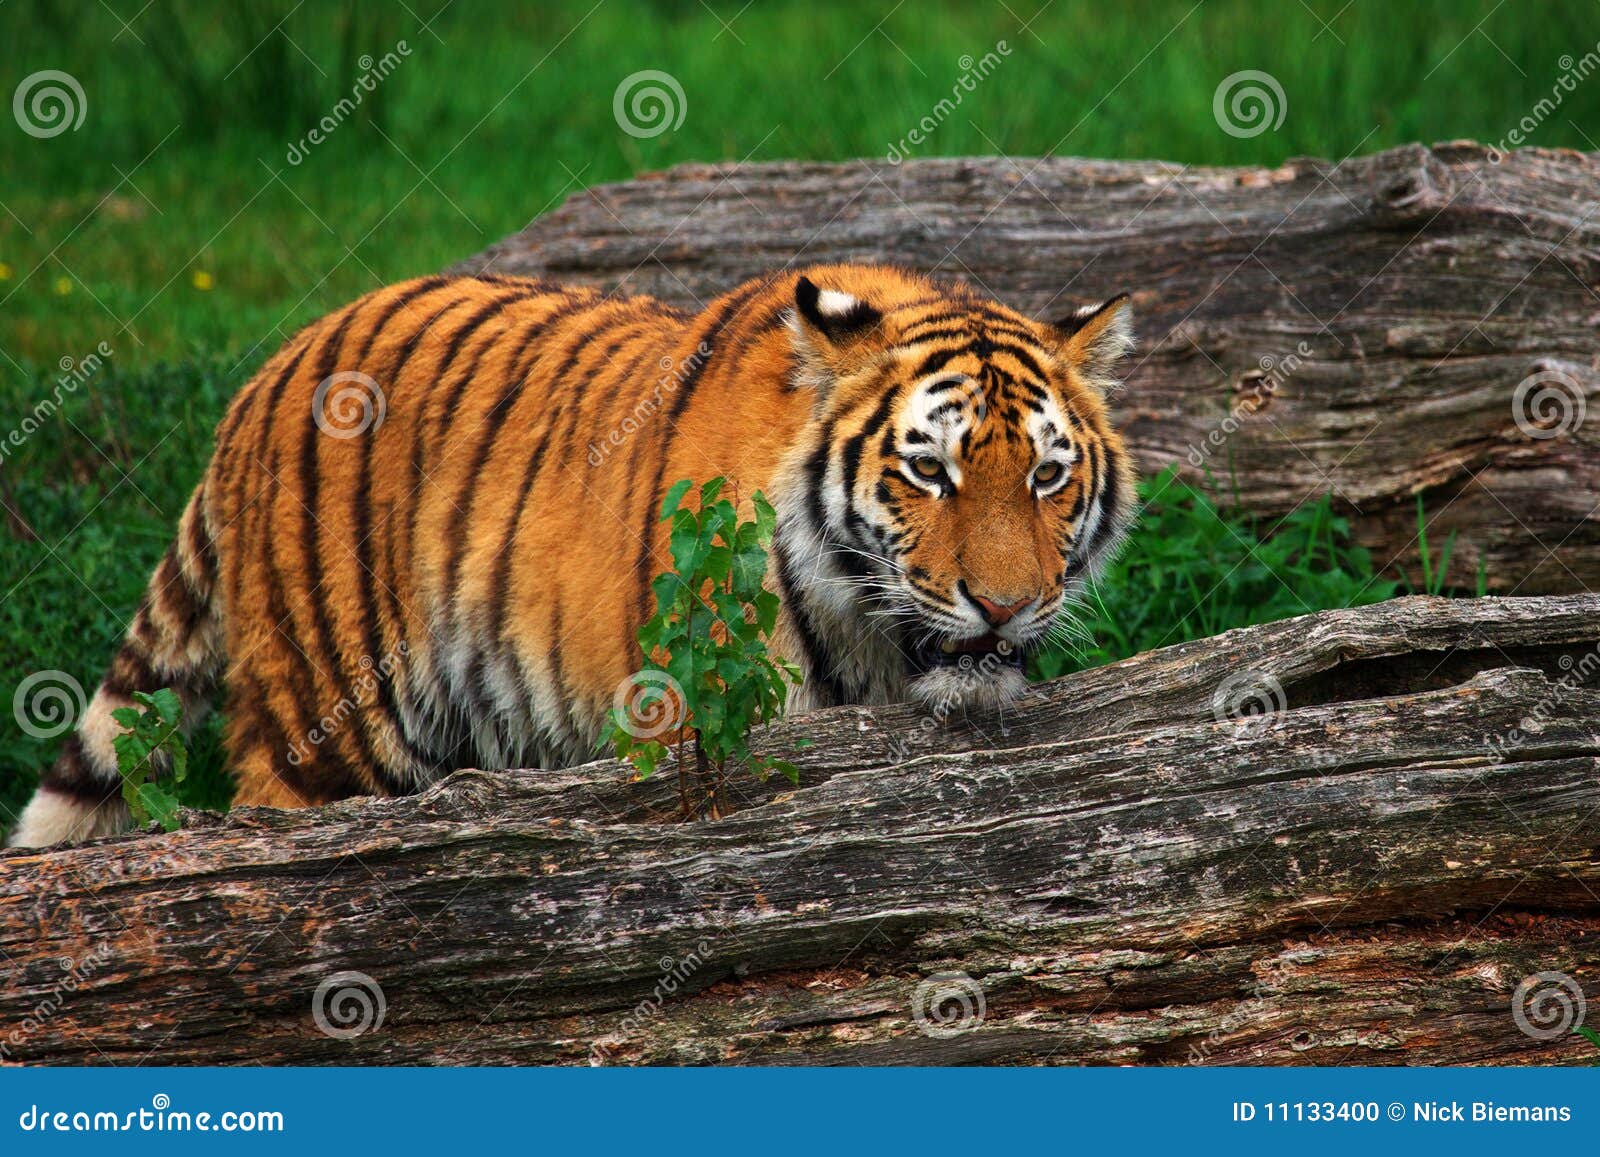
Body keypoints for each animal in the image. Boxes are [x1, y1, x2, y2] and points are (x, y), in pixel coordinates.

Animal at [9, 264, 1136, 847]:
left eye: (1046, 476)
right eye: (929, 472)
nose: (1005, 606)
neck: (872, 641)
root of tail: (262, 376)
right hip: (324, 733)